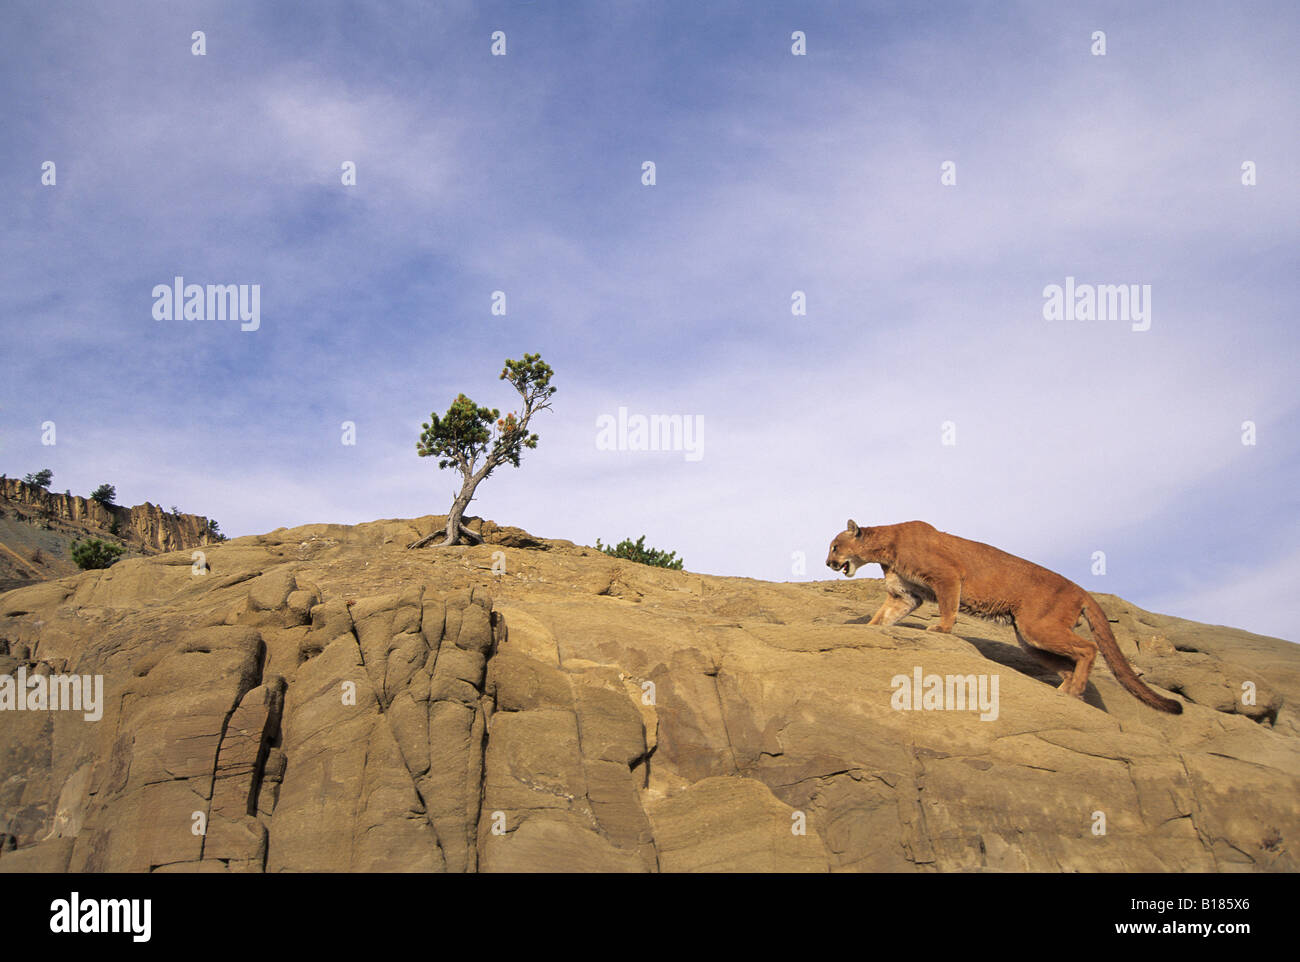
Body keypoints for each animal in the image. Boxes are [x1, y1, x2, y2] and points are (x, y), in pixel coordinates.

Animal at [825, 520, 1182, 713]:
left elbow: (949, 607)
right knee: (1069, 663)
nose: (828, 563)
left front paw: (940, 629)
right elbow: (885, 616)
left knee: (1089, 648)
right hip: (1029, 640)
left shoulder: (949, 576)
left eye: (834, 546)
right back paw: (1065, 692)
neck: (887, 544)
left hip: (1036, 627)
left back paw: (1074, 691)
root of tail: (1082, 589)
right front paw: (871, 628)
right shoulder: (906, 594)